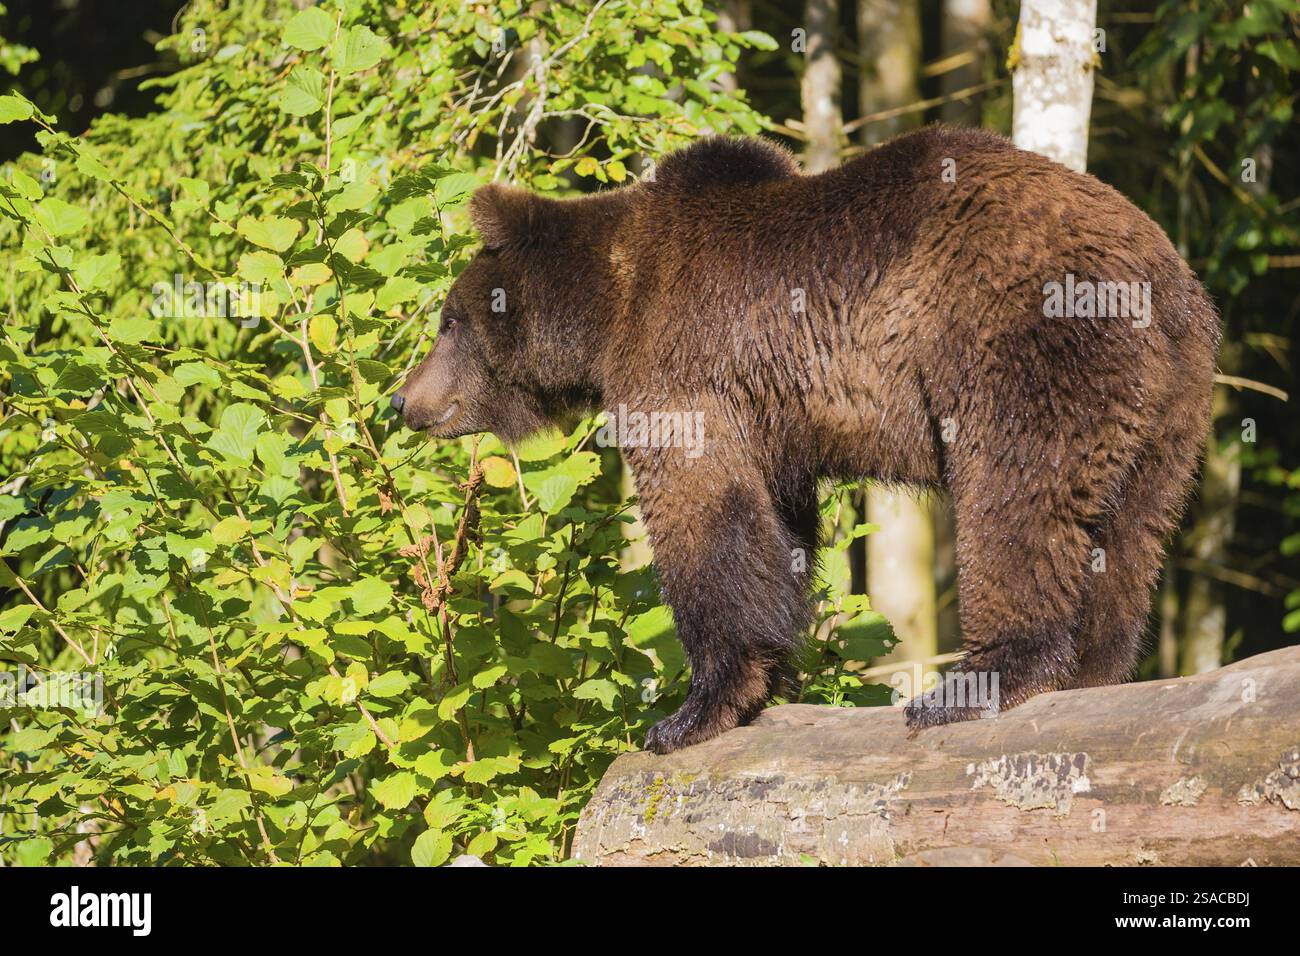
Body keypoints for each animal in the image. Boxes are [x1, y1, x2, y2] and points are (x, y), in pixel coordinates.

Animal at [392, 126, 1220, 755]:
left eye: (449, 321)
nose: (404, 400)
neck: (610, 309)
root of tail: (1157, 269)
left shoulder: (683, 368)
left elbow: (705, 517)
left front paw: (686, 715)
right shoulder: (772, 418)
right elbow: (776, 527)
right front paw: (765, 679)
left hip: (1021, 342)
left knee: (1017, 495)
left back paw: (971, 685)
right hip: (1167, 406)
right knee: (1129, 532)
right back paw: (1094, 672)